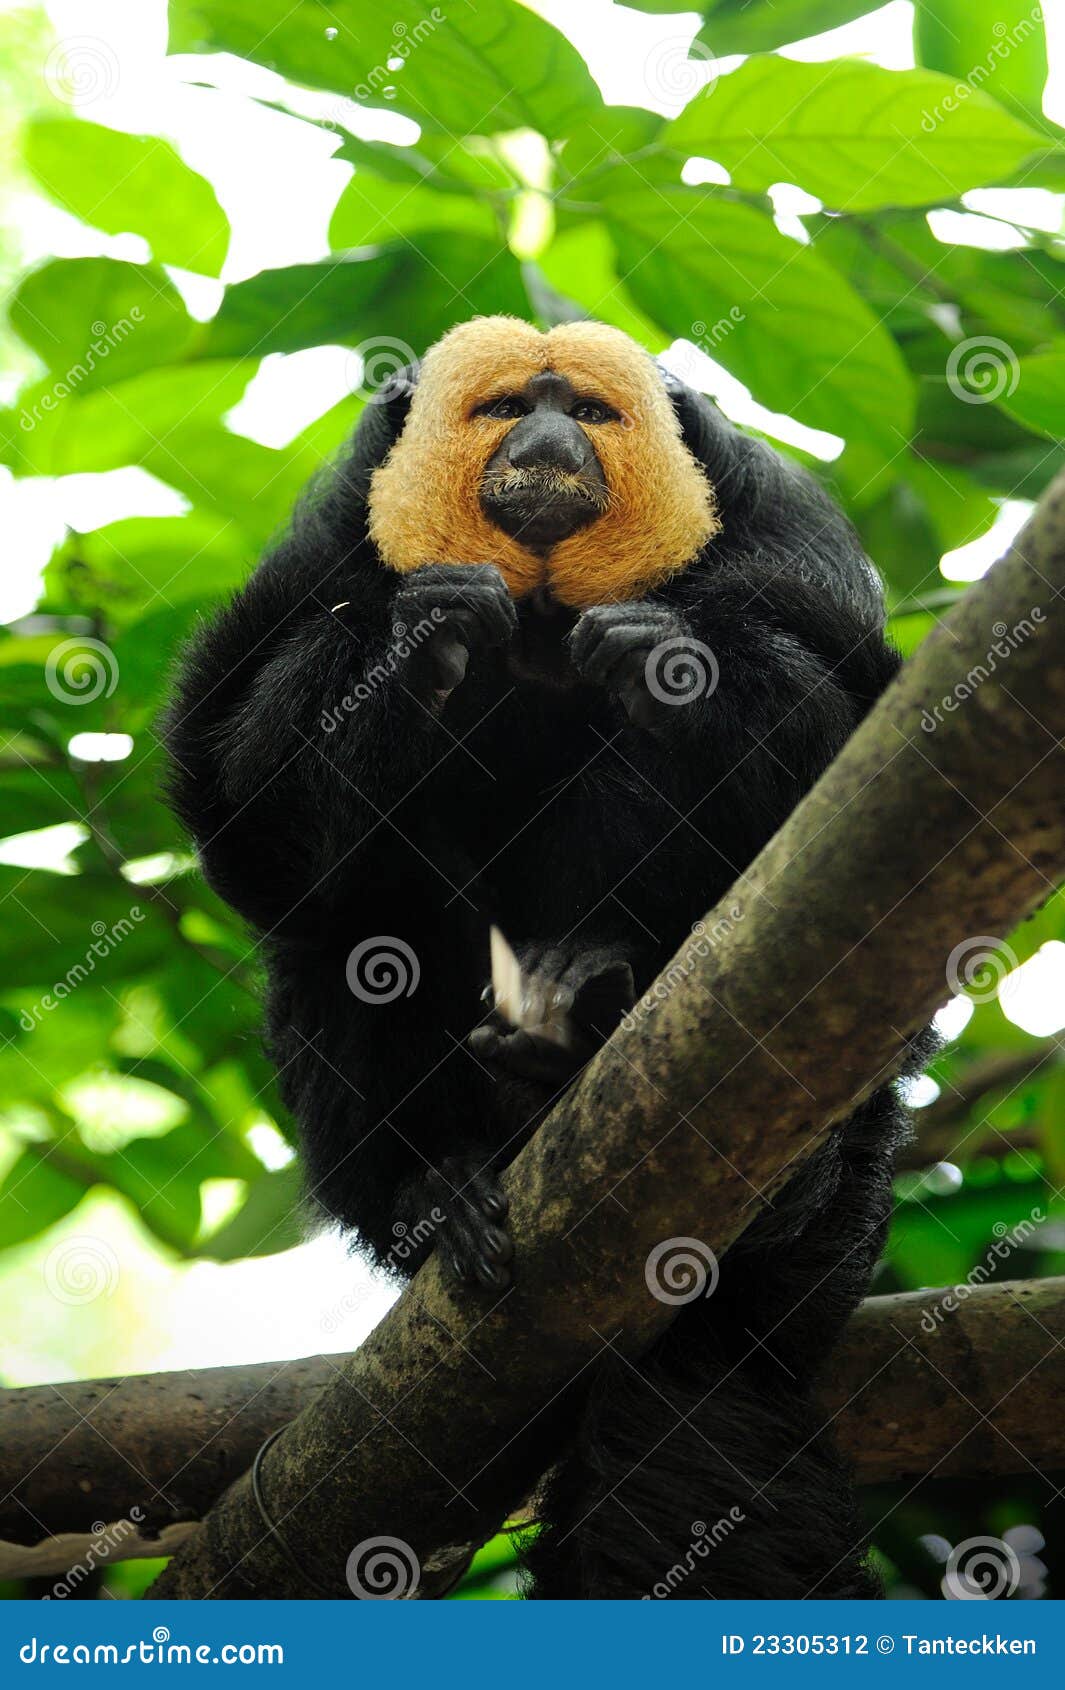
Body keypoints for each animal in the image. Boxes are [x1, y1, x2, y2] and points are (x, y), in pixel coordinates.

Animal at [165, 315, 933, 1599]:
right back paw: (440, 1183)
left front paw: (668, 659)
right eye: (506, 408)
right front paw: (426, 644)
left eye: (587, 410)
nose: (544, 444)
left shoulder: (783, 534)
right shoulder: (329, 542)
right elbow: (249, 823)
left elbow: (856, 746)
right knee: (345, 935)